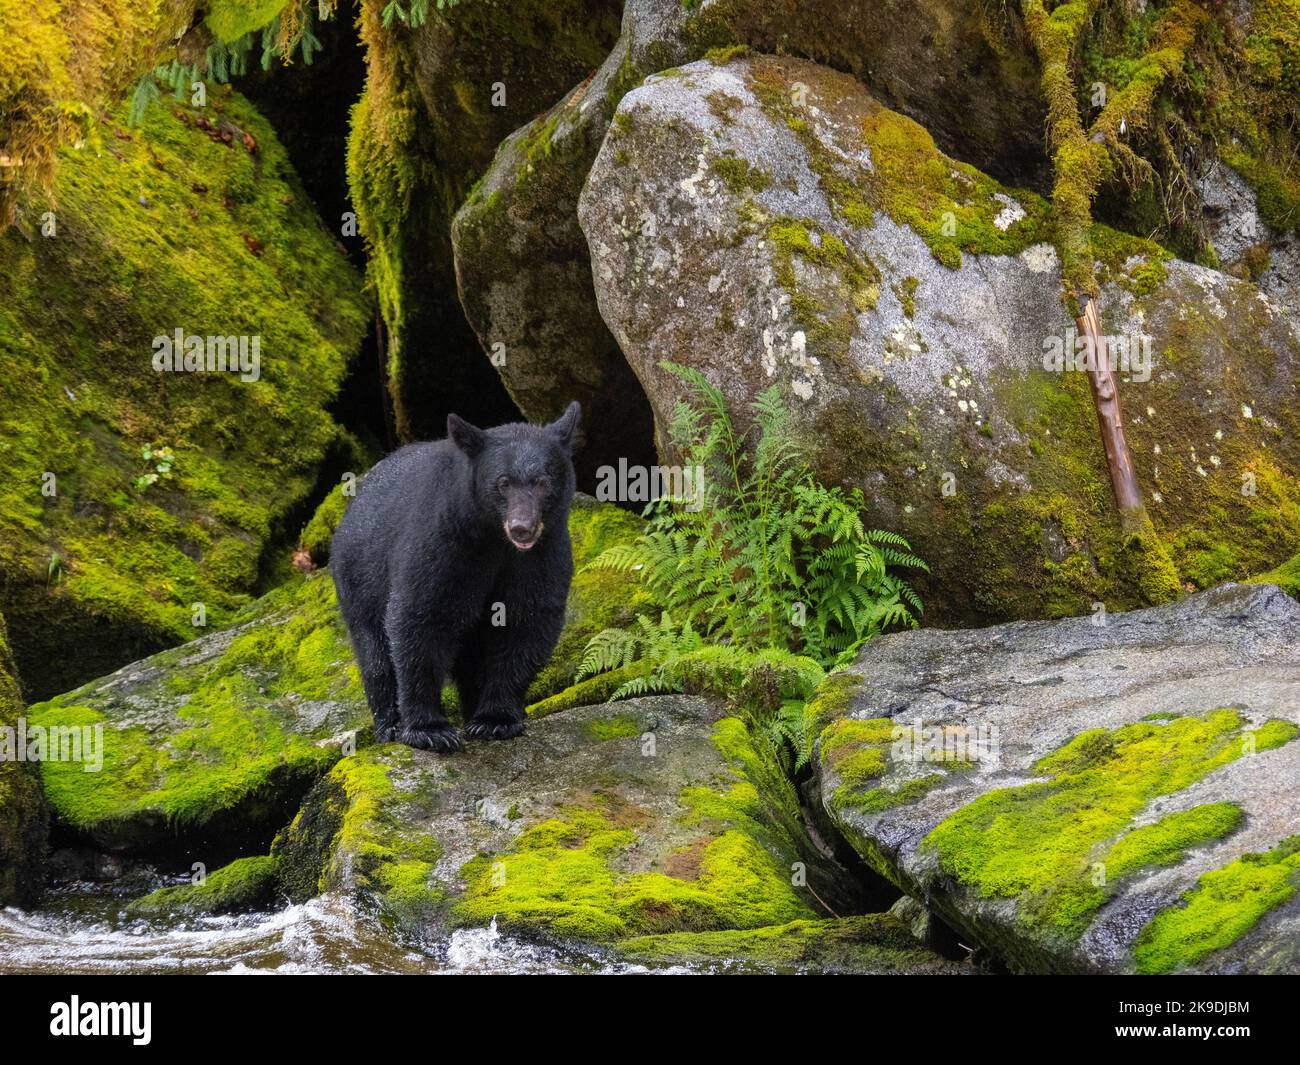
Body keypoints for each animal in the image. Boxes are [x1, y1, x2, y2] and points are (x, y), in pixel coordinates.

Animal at [330, 402, 581, 752]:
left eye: (543, 481)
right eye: (503, 482)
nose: (522, 528)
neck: (494, 540)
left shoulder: (542, 553)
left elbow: (526, 621)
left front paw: (496, 719)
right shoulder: (445, 542)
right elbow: (420, 617)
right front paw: (429, 729)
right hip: (358, 577)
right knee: (375, 654)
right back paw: (389, 725)